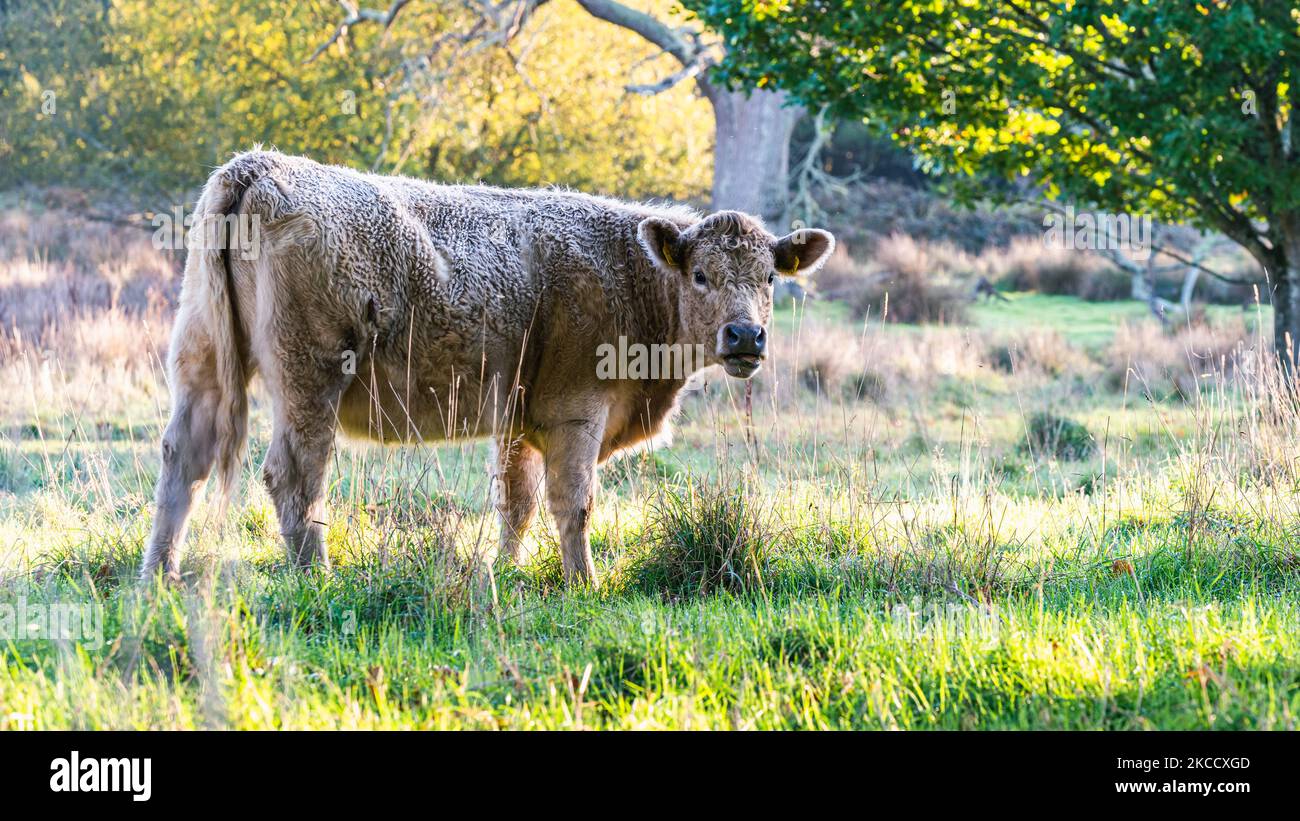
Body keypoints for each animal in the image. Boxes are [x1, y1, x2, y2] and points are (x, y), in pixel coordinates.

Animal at [141, 149, 835, 586]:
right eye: (700, 275)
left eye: (770, 277)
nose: (745, 334)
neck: (630, 273)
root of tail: (261, 164)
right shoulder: (577, 412)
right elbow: (572, 501)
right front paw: (584, 583)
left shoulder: (518, 420)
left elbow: (515, 502)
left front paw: (507, 569)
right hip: (310, 376)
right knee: (293, 475)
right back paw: (318, 577)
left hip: (202, 361)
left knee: (185, 458)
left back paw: (159, 575)